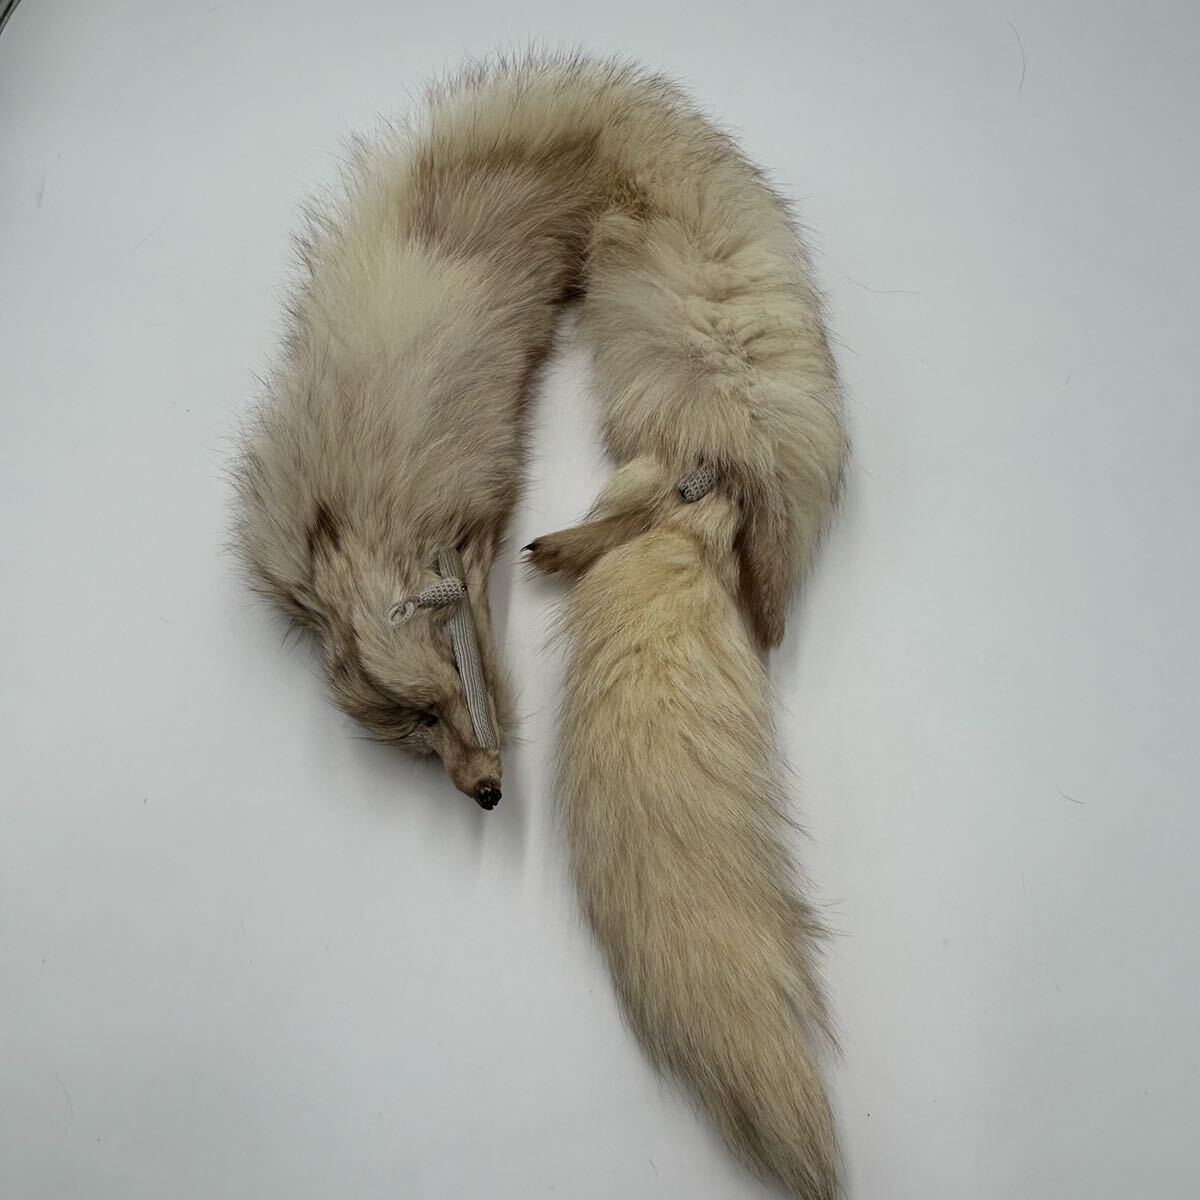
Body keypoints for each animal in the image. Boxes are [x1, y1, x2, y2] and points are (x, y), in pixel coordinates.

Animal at [233, 54, 846, 1198]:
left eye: (434, 707)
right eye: (411, 737)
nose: (484, 798)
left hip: (670, 402)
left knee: (688, 511)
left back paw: (567, 550)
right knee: (668, 507)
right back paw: (568, 550)